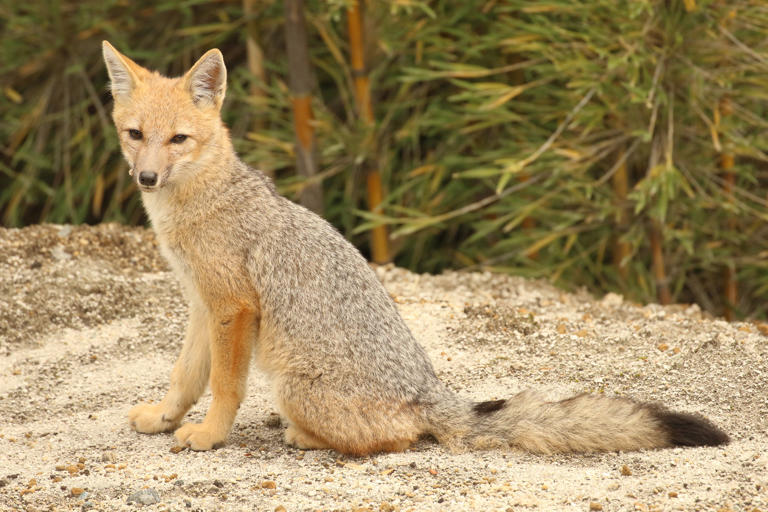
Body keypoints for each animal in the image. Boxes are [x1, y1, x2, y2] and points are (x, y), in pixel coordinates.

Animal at [101, 41, 729, 456]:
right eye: (136, 135)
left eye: (179, 139)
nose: (146, 178)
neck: (195, 207)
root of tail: (431, 393)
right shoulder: (201, 305)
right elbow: (185, 376)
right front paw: (164, 417)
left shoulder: (233, 308)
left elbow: (225, 386)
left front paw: (210, 435)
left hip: (292, 387)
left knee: (398, 438)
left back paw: (306, 436)